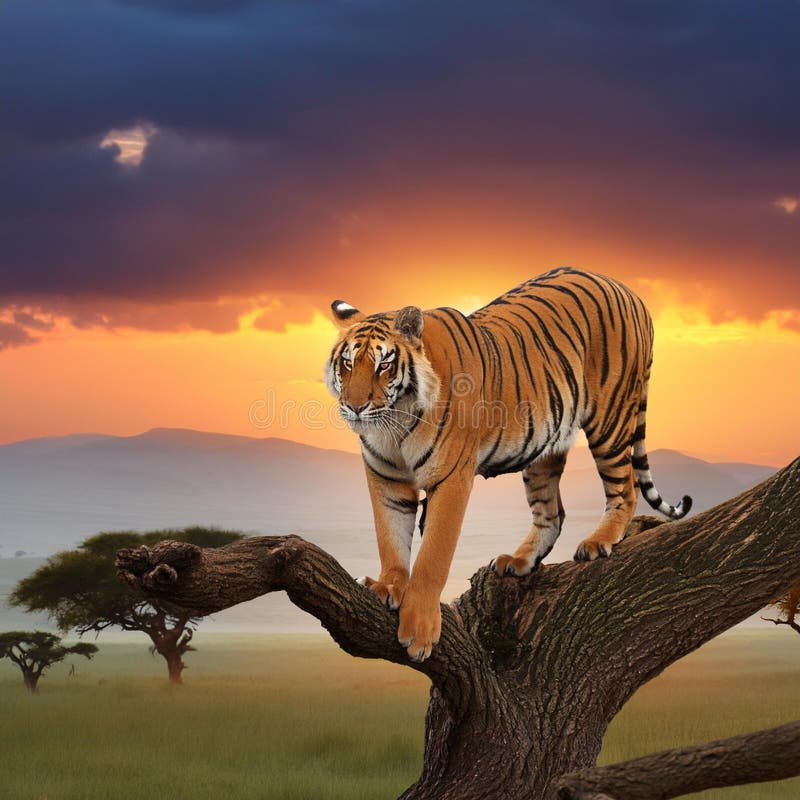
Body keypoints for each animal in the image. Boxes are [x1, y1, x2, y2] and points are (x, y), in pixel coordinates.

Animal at [324, 267, 692, 662]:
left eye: (384, 364)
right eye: (348, 363)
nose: (355, 407)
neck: (393, 423)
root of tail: (628, 290)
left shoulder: (451, 479)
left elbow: (432, 557)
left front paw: (419, 631)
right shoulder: (386, 480)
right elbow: (390, 539)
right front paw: (385, 586)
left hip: (610, 419)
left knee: (626, 488)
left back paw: (598, 542)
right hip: (544, 445)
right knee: (552, 514)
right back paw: (519, 561)